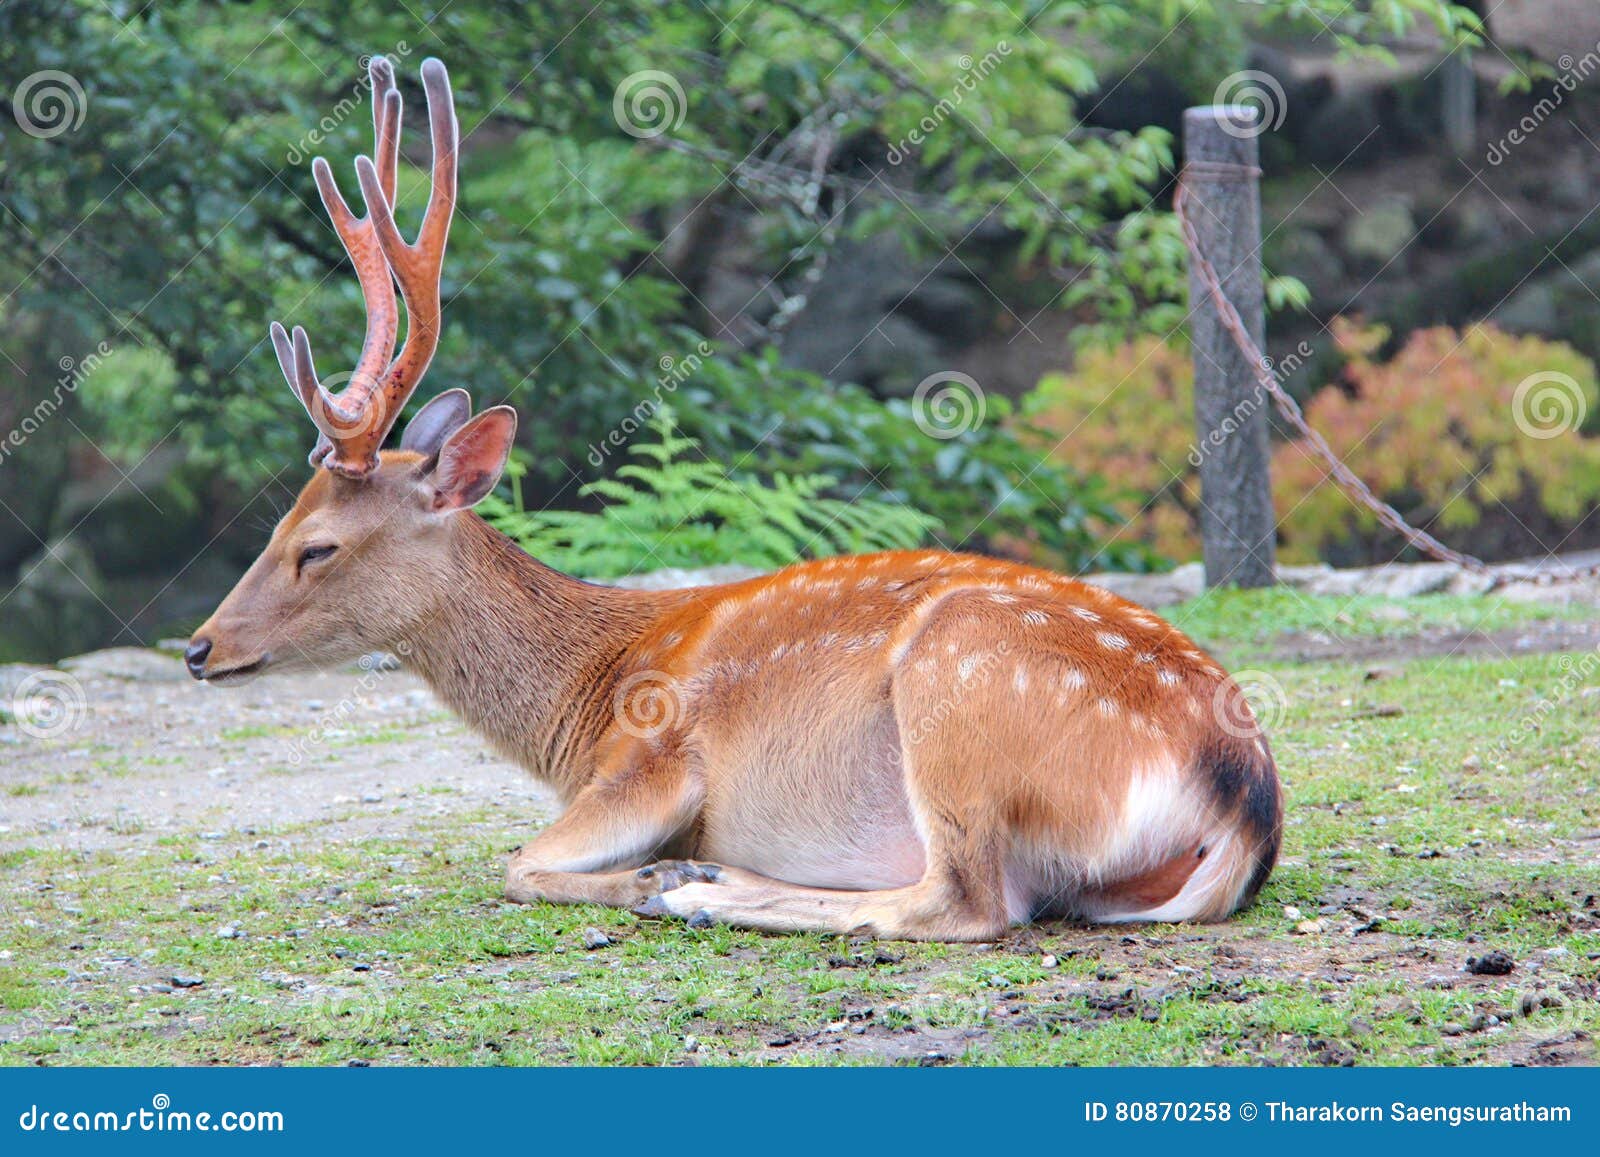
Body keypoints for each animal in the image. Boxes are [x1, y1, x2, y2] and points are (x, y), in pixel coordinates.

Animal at [185, 55, 1282, 942]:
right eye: (280, 524)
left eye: (317, 545)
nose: (198, 645)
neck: (582, 703)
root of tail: (1244, 799)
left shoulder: (654, 755)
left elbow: (519, 863)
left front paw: (651, 874)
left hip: (960, 688)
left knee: (965, 901)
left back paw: (707, 886)